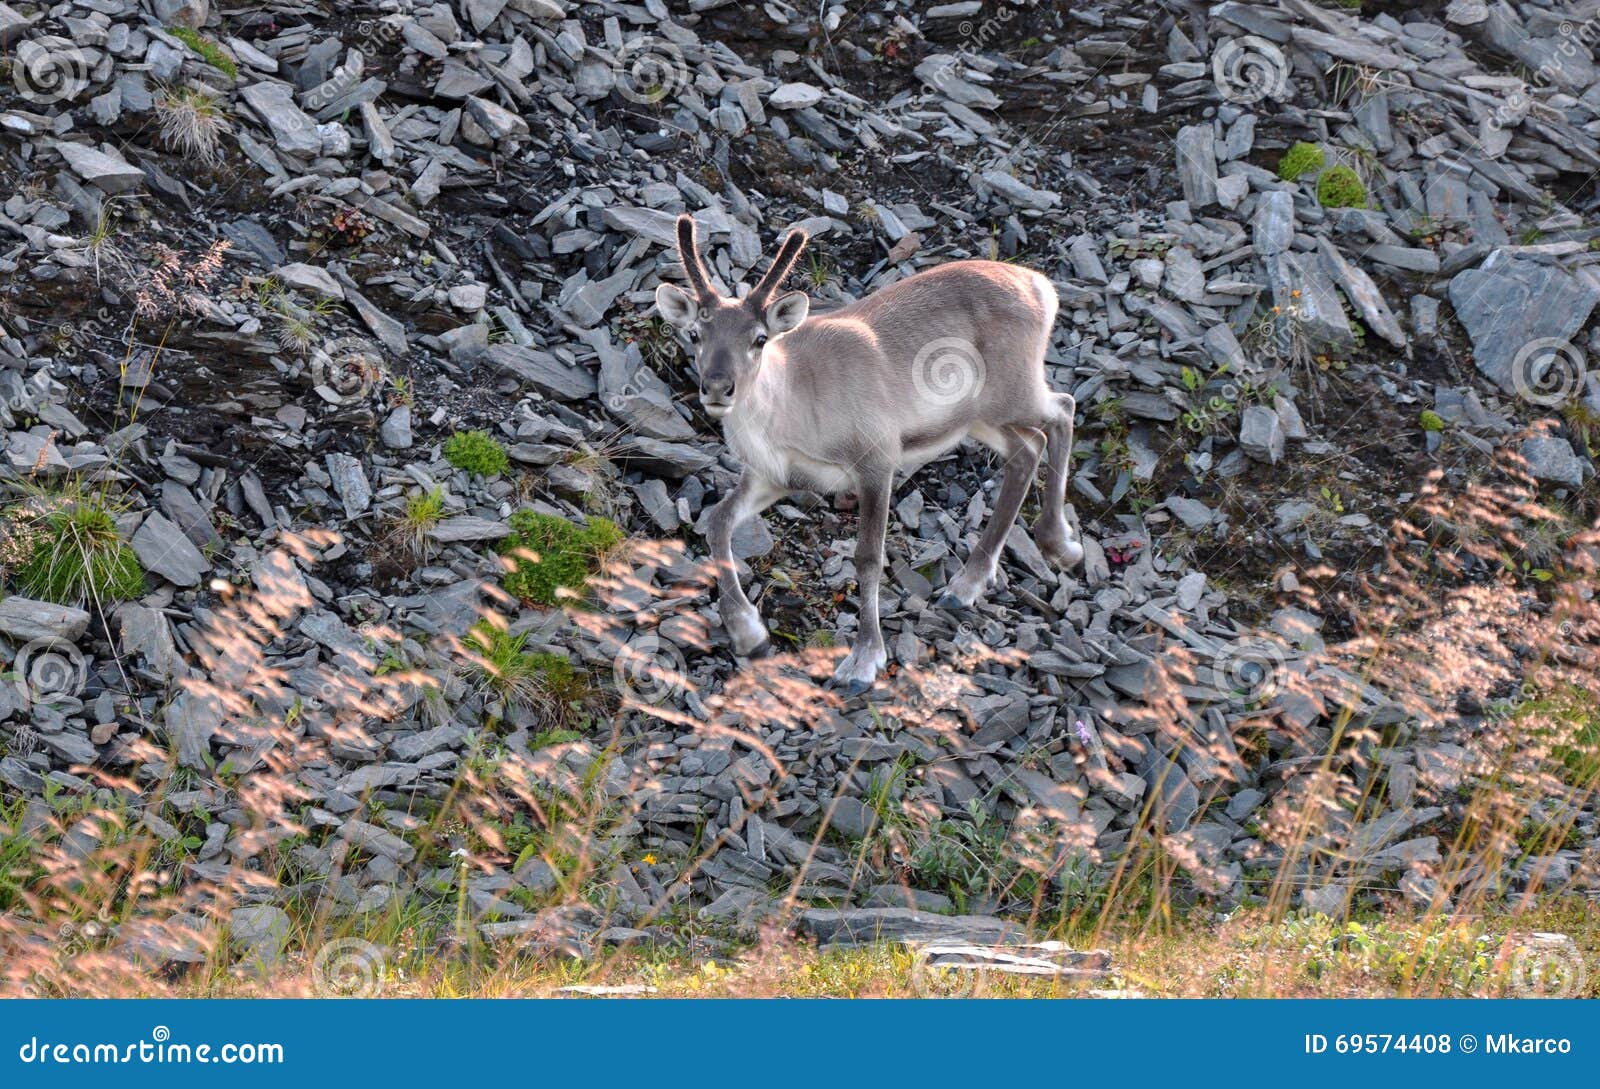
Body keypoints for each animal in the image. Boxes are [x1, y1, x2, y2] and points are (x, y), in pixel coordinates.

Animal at [656, 215, 1083, 694]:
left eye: (759, 338)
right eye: (695, 334)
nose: (717, 387)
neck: (793, 407)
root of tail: (1041, 285)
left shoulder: (877, 459)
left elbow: (867, 558)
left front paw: (864, 659)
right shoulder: (773, 476)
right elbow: (717, 523)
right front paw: (749, 633)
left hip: (1013, 392)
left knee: (1063, 409)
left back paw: (1059, 544)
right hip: (975, 418)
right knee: (1028, 447)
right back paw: (969, 583)